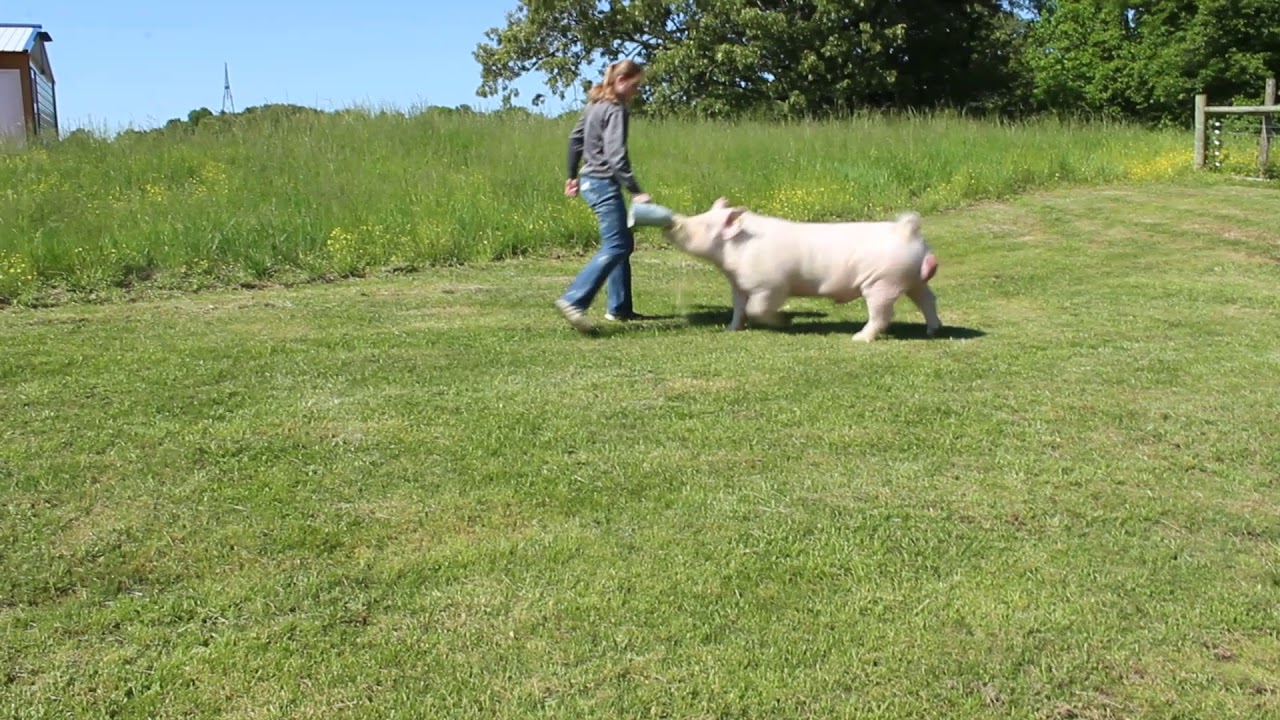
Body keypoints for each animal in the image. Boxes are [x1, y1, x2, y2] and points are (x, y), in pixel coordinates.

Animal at [660, 197, 941, 342]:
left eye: (703, 224)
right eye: (700, 215)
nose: (673, 222)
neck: (733, 255)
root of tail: (907, 231)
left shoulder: (771, 285)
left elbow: (757, 308)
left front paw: (785, 322)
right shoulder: (739, 284)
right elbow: (739, 308)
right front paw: (731, 329)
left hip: (883, 282)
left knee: (883, 314)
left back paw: (859, 338)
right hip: (914, 280)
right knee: (928, 299)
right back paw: (933, 330)